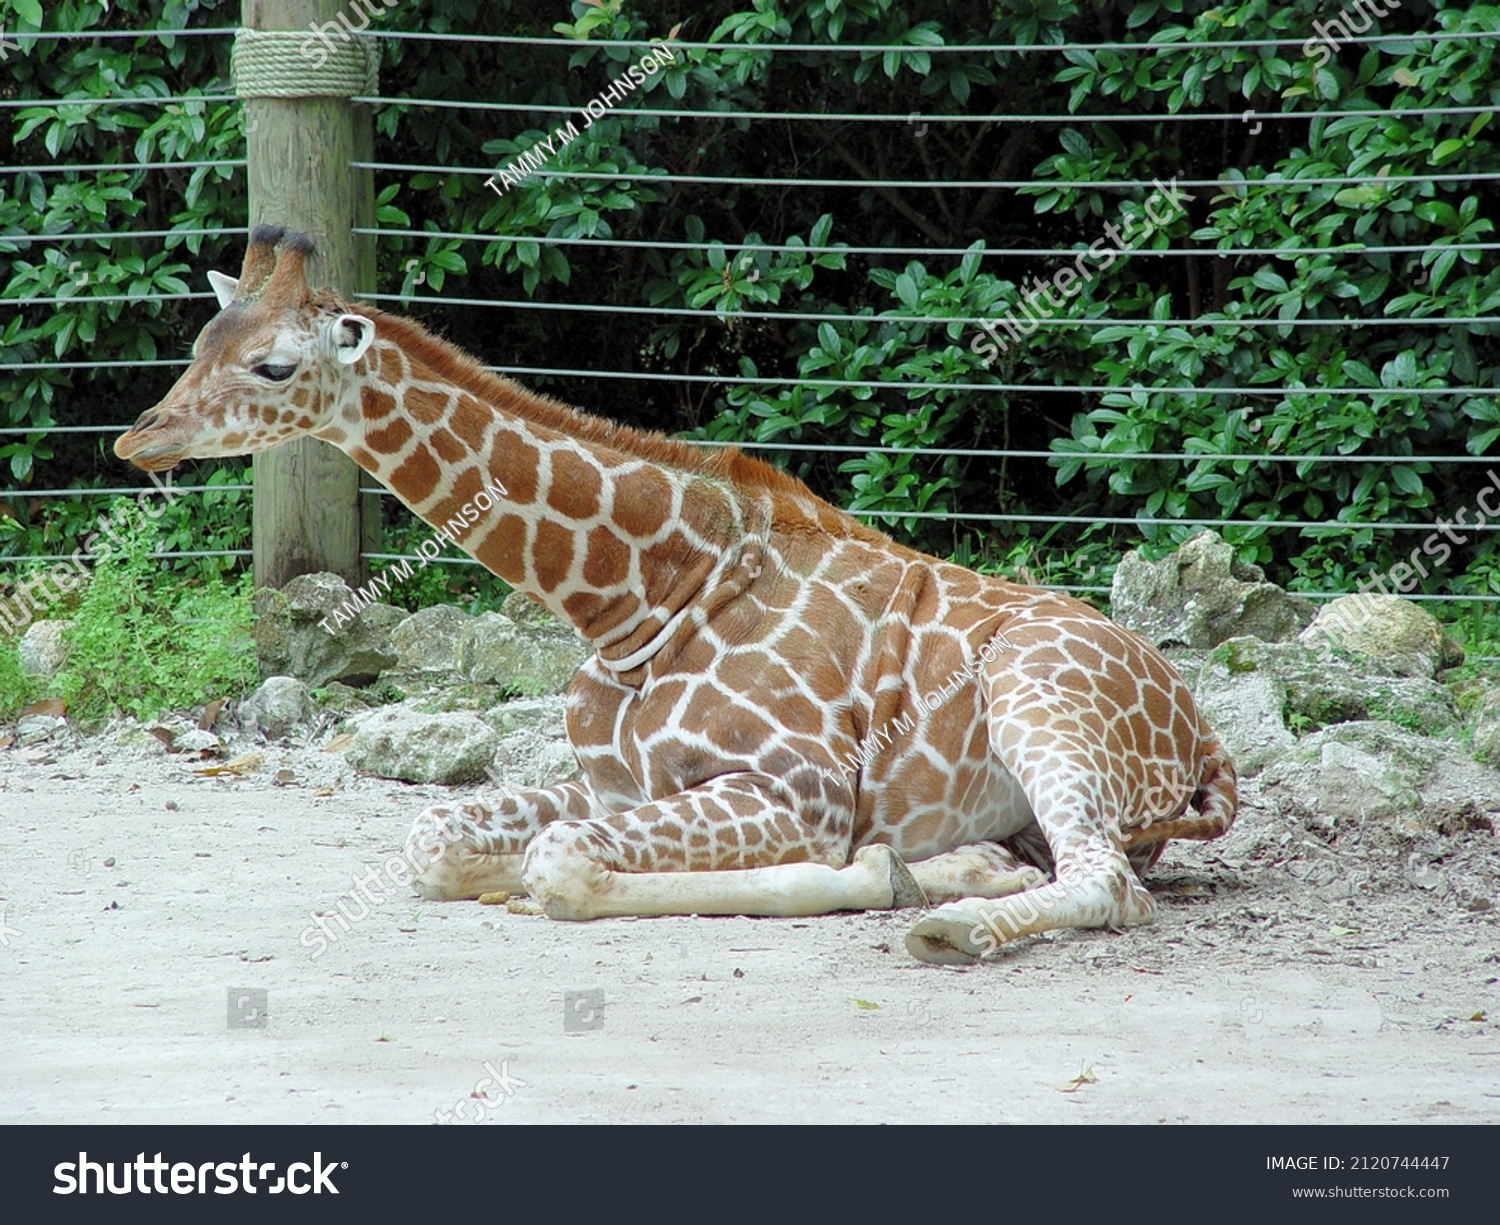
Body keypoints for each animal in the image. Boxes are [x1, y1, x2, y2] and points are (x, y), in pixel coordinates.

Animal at [115, 227, 1238, 964]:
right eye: (199, 345)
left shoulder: (798, 788)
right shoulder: (622, 784)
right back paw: (962, 872)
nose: (138, 438)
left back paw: (946, 920)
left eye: (273, 364)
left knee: (1106, 880)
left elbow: (562, 865)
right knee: (1064, 860)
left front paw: (881, 873)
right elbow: (435, 838)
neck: (636, 598)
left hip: (1036, 695)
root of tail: (1203, 738)